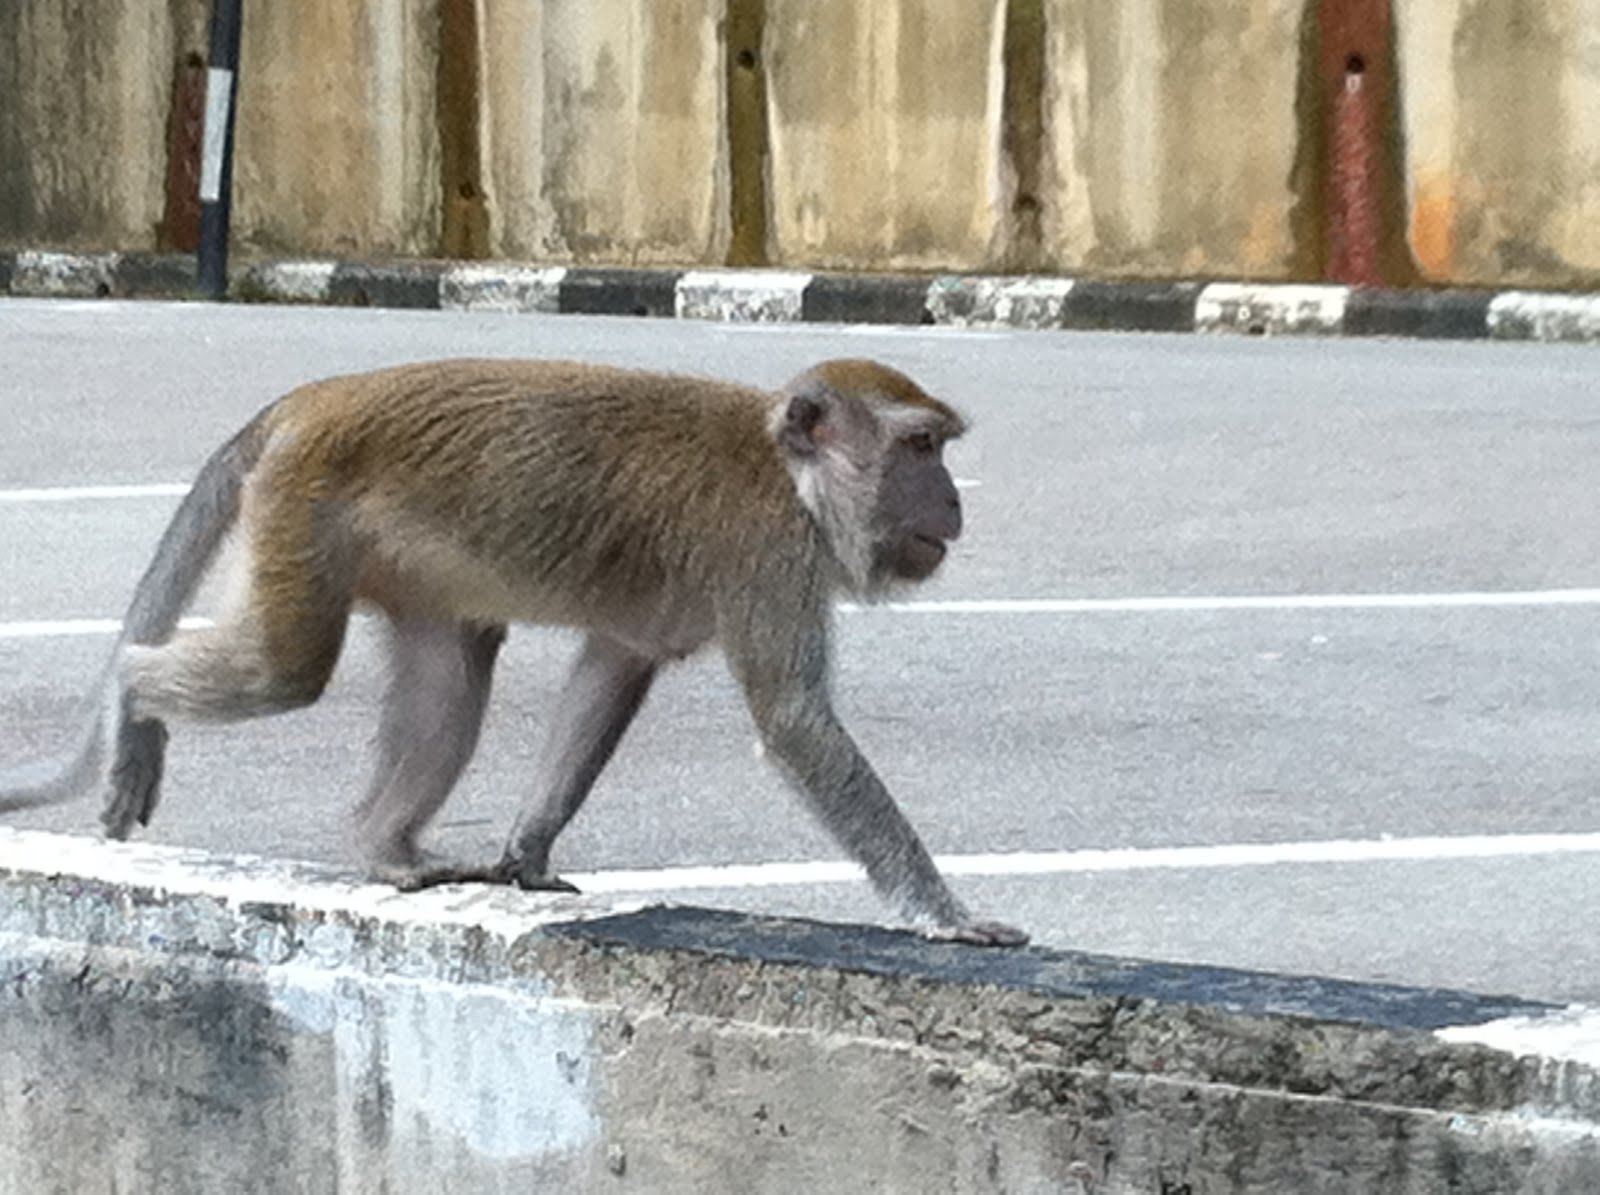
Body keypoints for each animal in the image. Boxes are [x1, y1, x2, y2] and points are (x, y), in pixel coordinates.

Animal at [0, 357, 1027, 947]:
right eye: (919, 446)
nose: (954, 501)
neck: (788, 472)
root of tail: (307, 401)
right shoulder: (767, 551)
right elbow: (797, 724)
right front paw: (943, 914)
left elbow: (614, 665)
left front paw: (528, 854)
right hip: (302, 508)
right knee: (285, 666)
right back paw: (132, 696)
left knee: (454, 669)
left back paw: (386, 846)